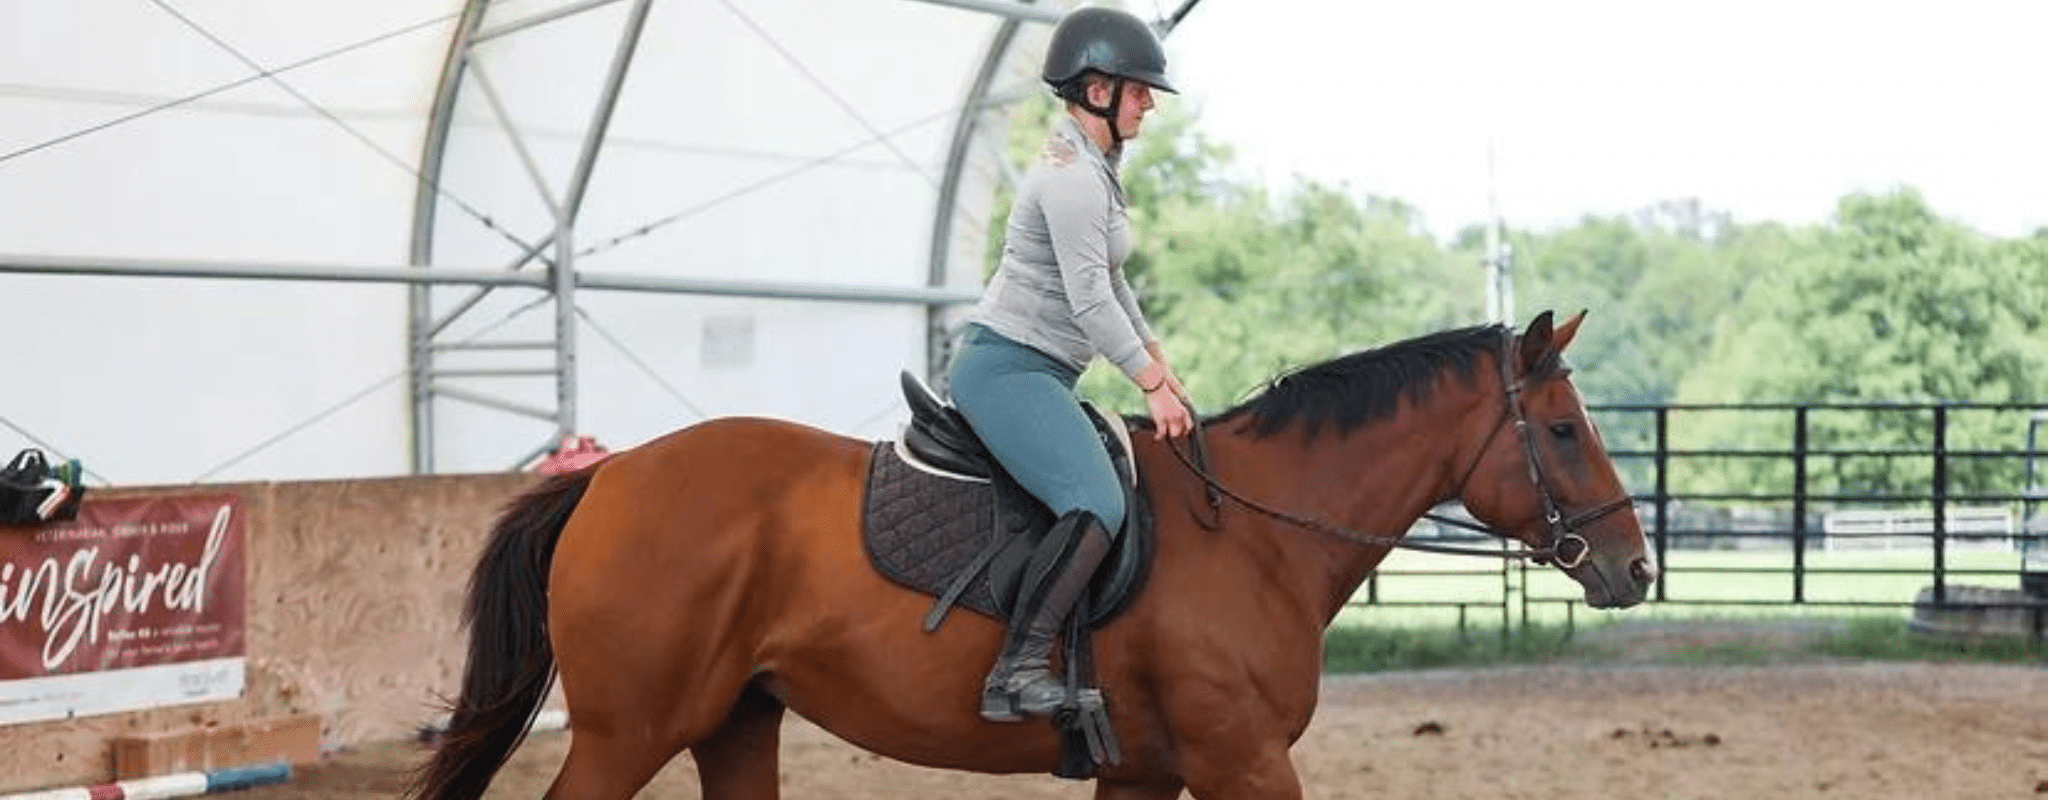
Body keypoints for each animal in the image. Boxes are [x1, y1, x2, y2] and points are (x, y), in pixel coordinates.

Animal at [408, 310, 1656, 800]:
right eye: (1561, 429)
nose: (1635, 566)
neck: (1254, 531)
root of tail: (606, 474)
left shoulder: (1143, 769)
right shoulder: (1243, 760)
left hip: (733, 722)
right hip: (628, 732)